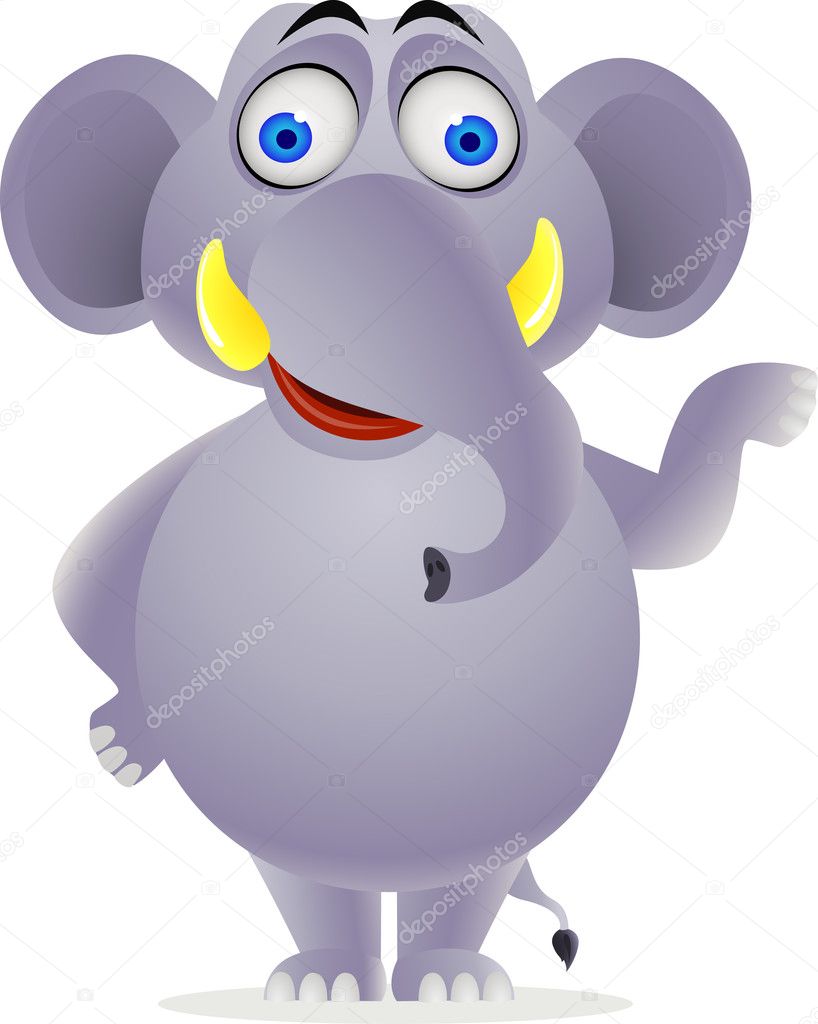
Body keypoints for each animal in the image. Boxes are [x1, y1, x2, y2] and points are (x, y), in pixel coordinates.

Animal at [2, 0, 815, 1004]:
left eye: (471, 140)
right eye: (285, 135)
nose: (434, 566)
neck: (379, 459)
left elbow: (676, 524)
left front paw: (778, 399)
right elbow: (82, 571)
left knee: (472, 874)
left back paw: (449, 982)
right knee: (303, 872)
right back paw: (324, 978)